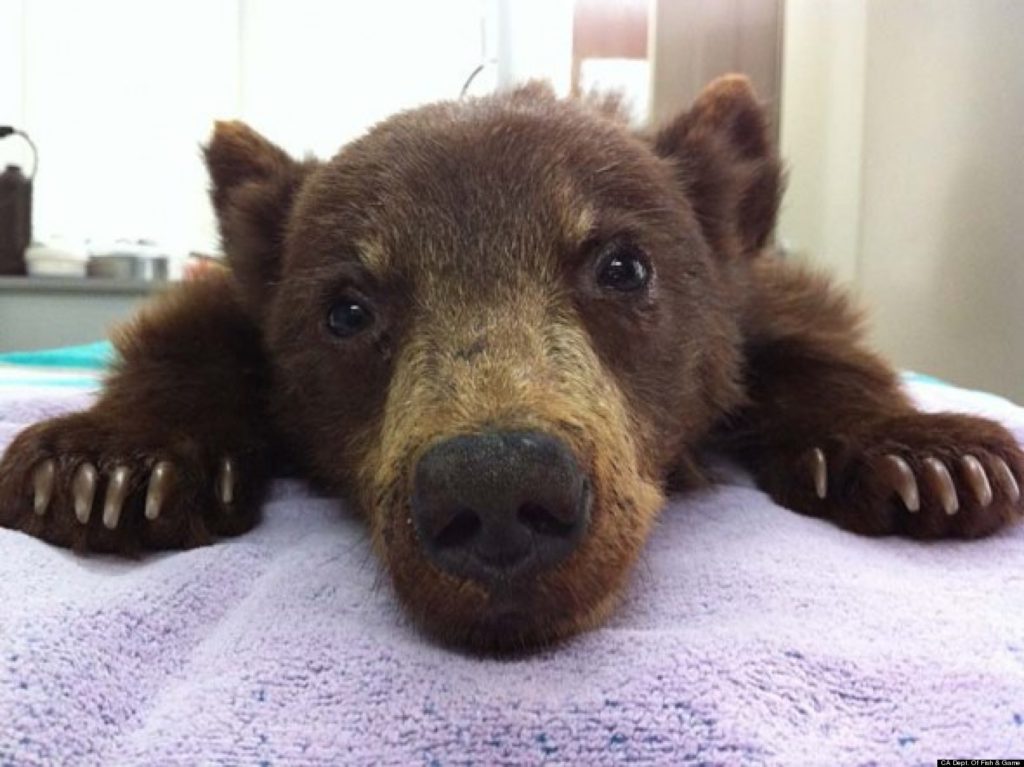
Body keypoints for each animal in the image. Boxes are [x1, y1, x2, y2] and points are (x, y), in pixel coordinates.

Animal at [0, 75, 1021, 651]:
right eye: (348, 307)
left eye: (622, 263)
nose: (495, 488)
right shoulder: (248, 293)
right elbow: (188, 332)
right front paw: (109, 469)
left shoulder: (754, 288)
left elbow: (812, 334)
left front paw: (933, 459)